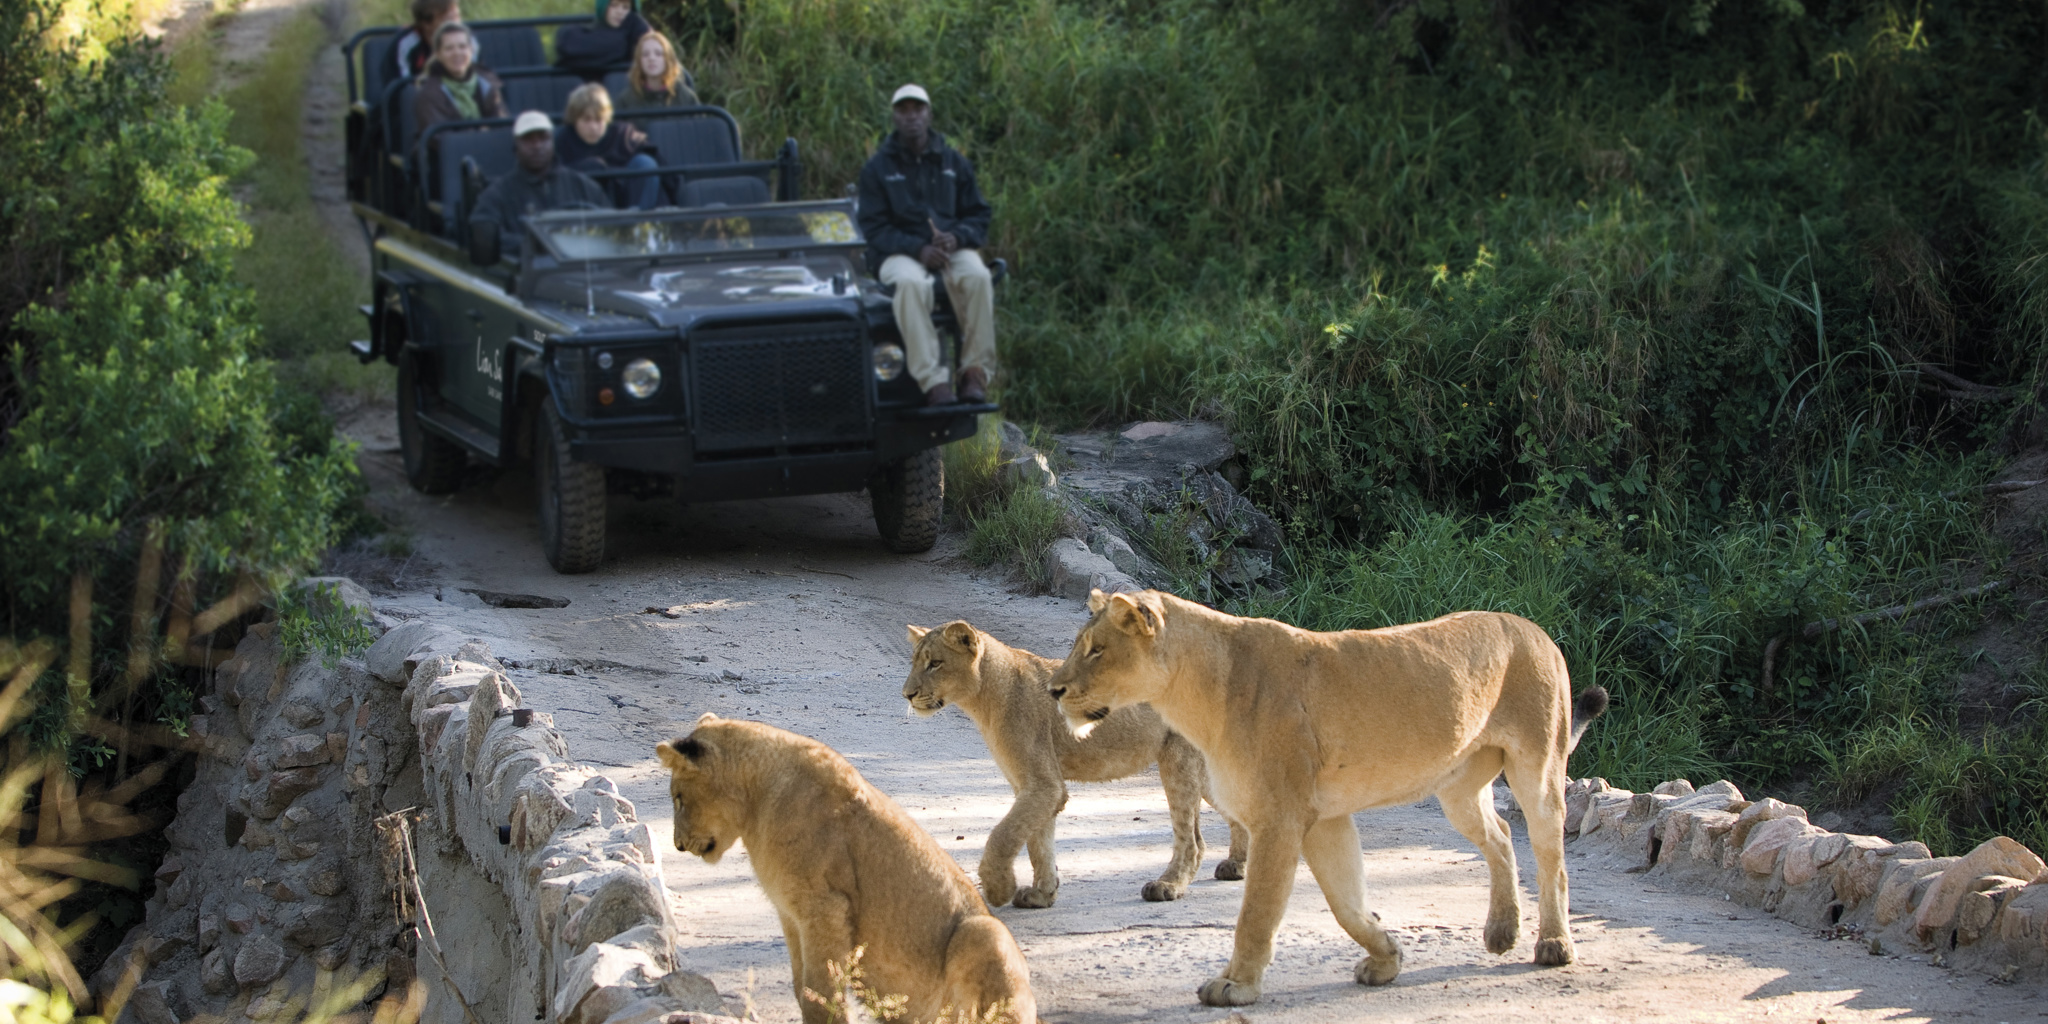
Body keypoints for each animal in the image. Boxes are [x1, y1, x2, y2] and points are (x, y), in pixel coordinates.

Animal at [655, 714, 1036, 1024]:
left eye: (678, 798)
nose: (677, 844)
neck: (756, 803)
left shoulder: (826, 908)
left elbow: (820, 992)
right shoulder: (791, 915)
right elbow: (801, 986)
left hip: (984, 932)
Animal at [904, 621, 1248, 909]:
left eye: (935, 663)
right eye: (914, 662)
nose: (907, 694)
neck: (983, 696)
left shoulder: (1044, 784)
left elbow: (1003, 835)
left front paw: (998, 888)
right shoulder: (1034, 786)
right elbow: (1038, 841)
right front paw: (1042, 894)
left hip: (1178, 761)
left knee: (1192, 840)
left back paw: (1168, 885)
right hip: (1201, 770)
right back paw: (1236, 866)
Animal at [1045, 590, 1608, 1008]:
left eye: (1096, 649)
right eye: (1079, 645)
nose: (1053, 690)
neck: (1194, 693)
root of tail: (1536, 629)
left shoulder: (1279, 818)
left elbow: (1257, 912)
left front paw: (1235, 985)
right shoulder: (1323, 819)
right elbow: (1346, 903)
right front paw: (1387, 956)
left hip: (1538, 769)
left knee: (1550, 856)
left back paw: (1553, 943)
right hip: (1457, 788)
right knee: (1502, 835)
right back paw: (1501, 930)